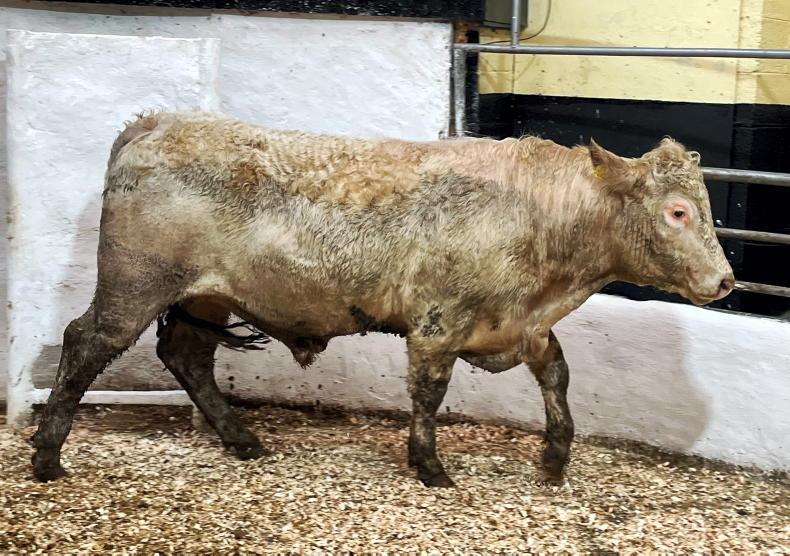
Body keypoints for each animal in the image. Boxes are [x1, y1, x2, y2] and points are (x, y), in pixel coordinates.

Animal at [30, 111, 734, 487]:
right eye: (677, 211)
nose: (727, 281)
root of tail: (157, 121)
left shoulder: (523, 325)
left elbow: (557, 377)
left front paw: (556, 458)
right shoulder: (438, 323)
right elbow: (428, 392)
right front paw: (430, 466)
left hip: (206, 297)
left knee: (187, 355)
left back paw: (243, 439)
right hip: (134, 285)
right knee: (86, 343)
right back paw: (47, 455)